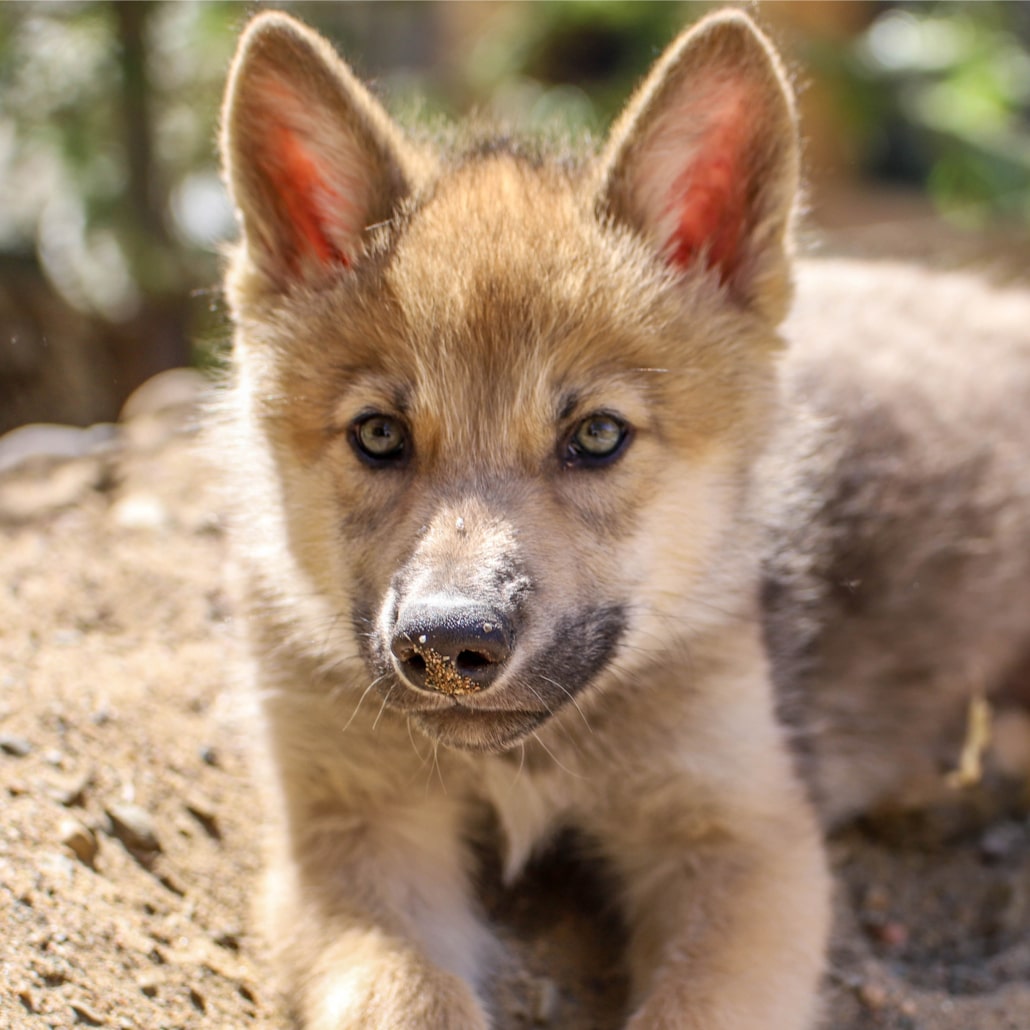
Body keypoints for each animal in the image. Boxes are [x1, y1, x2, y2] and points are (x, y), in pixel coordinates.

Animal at [217, 8, 1030, 1029]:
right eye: (377, 435)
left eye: (598, 435)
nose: (446, 647)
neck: (533, 758)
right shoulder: (351, 825)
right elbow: (408, 993)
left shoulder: (745, 834)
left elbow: (696, 1008)